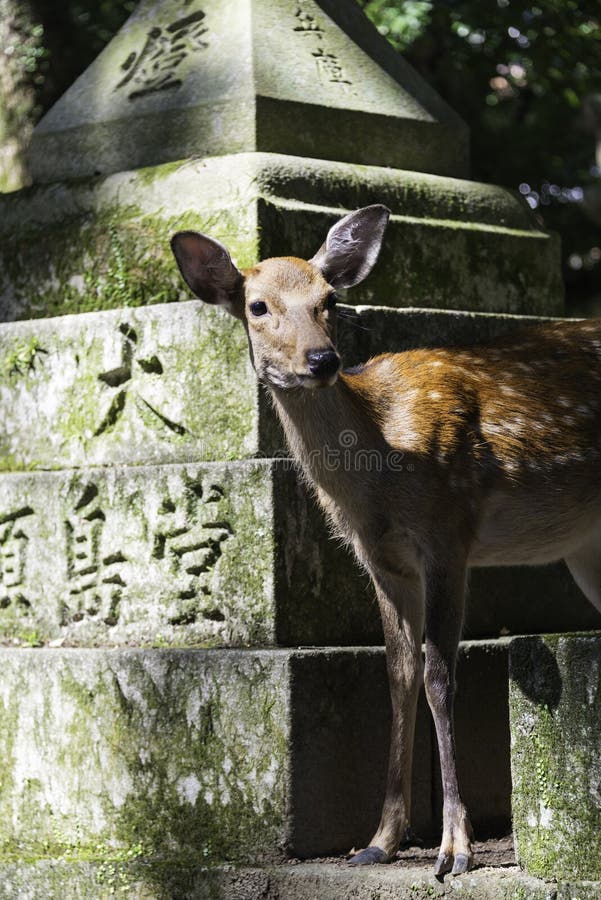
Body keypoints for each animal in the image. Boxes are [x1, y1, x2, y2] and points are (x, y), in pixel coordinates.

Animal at [170, 205, 601, 877]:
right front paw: (379, 840)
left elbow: (439, 678)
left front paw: (454, 849)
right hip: (585, 543)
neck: (377, 472)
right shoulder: (384, 561)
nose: (321, 360)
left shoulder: (450, 532)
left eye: (330, 300)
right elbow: (399, 677)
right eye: (257, 305)